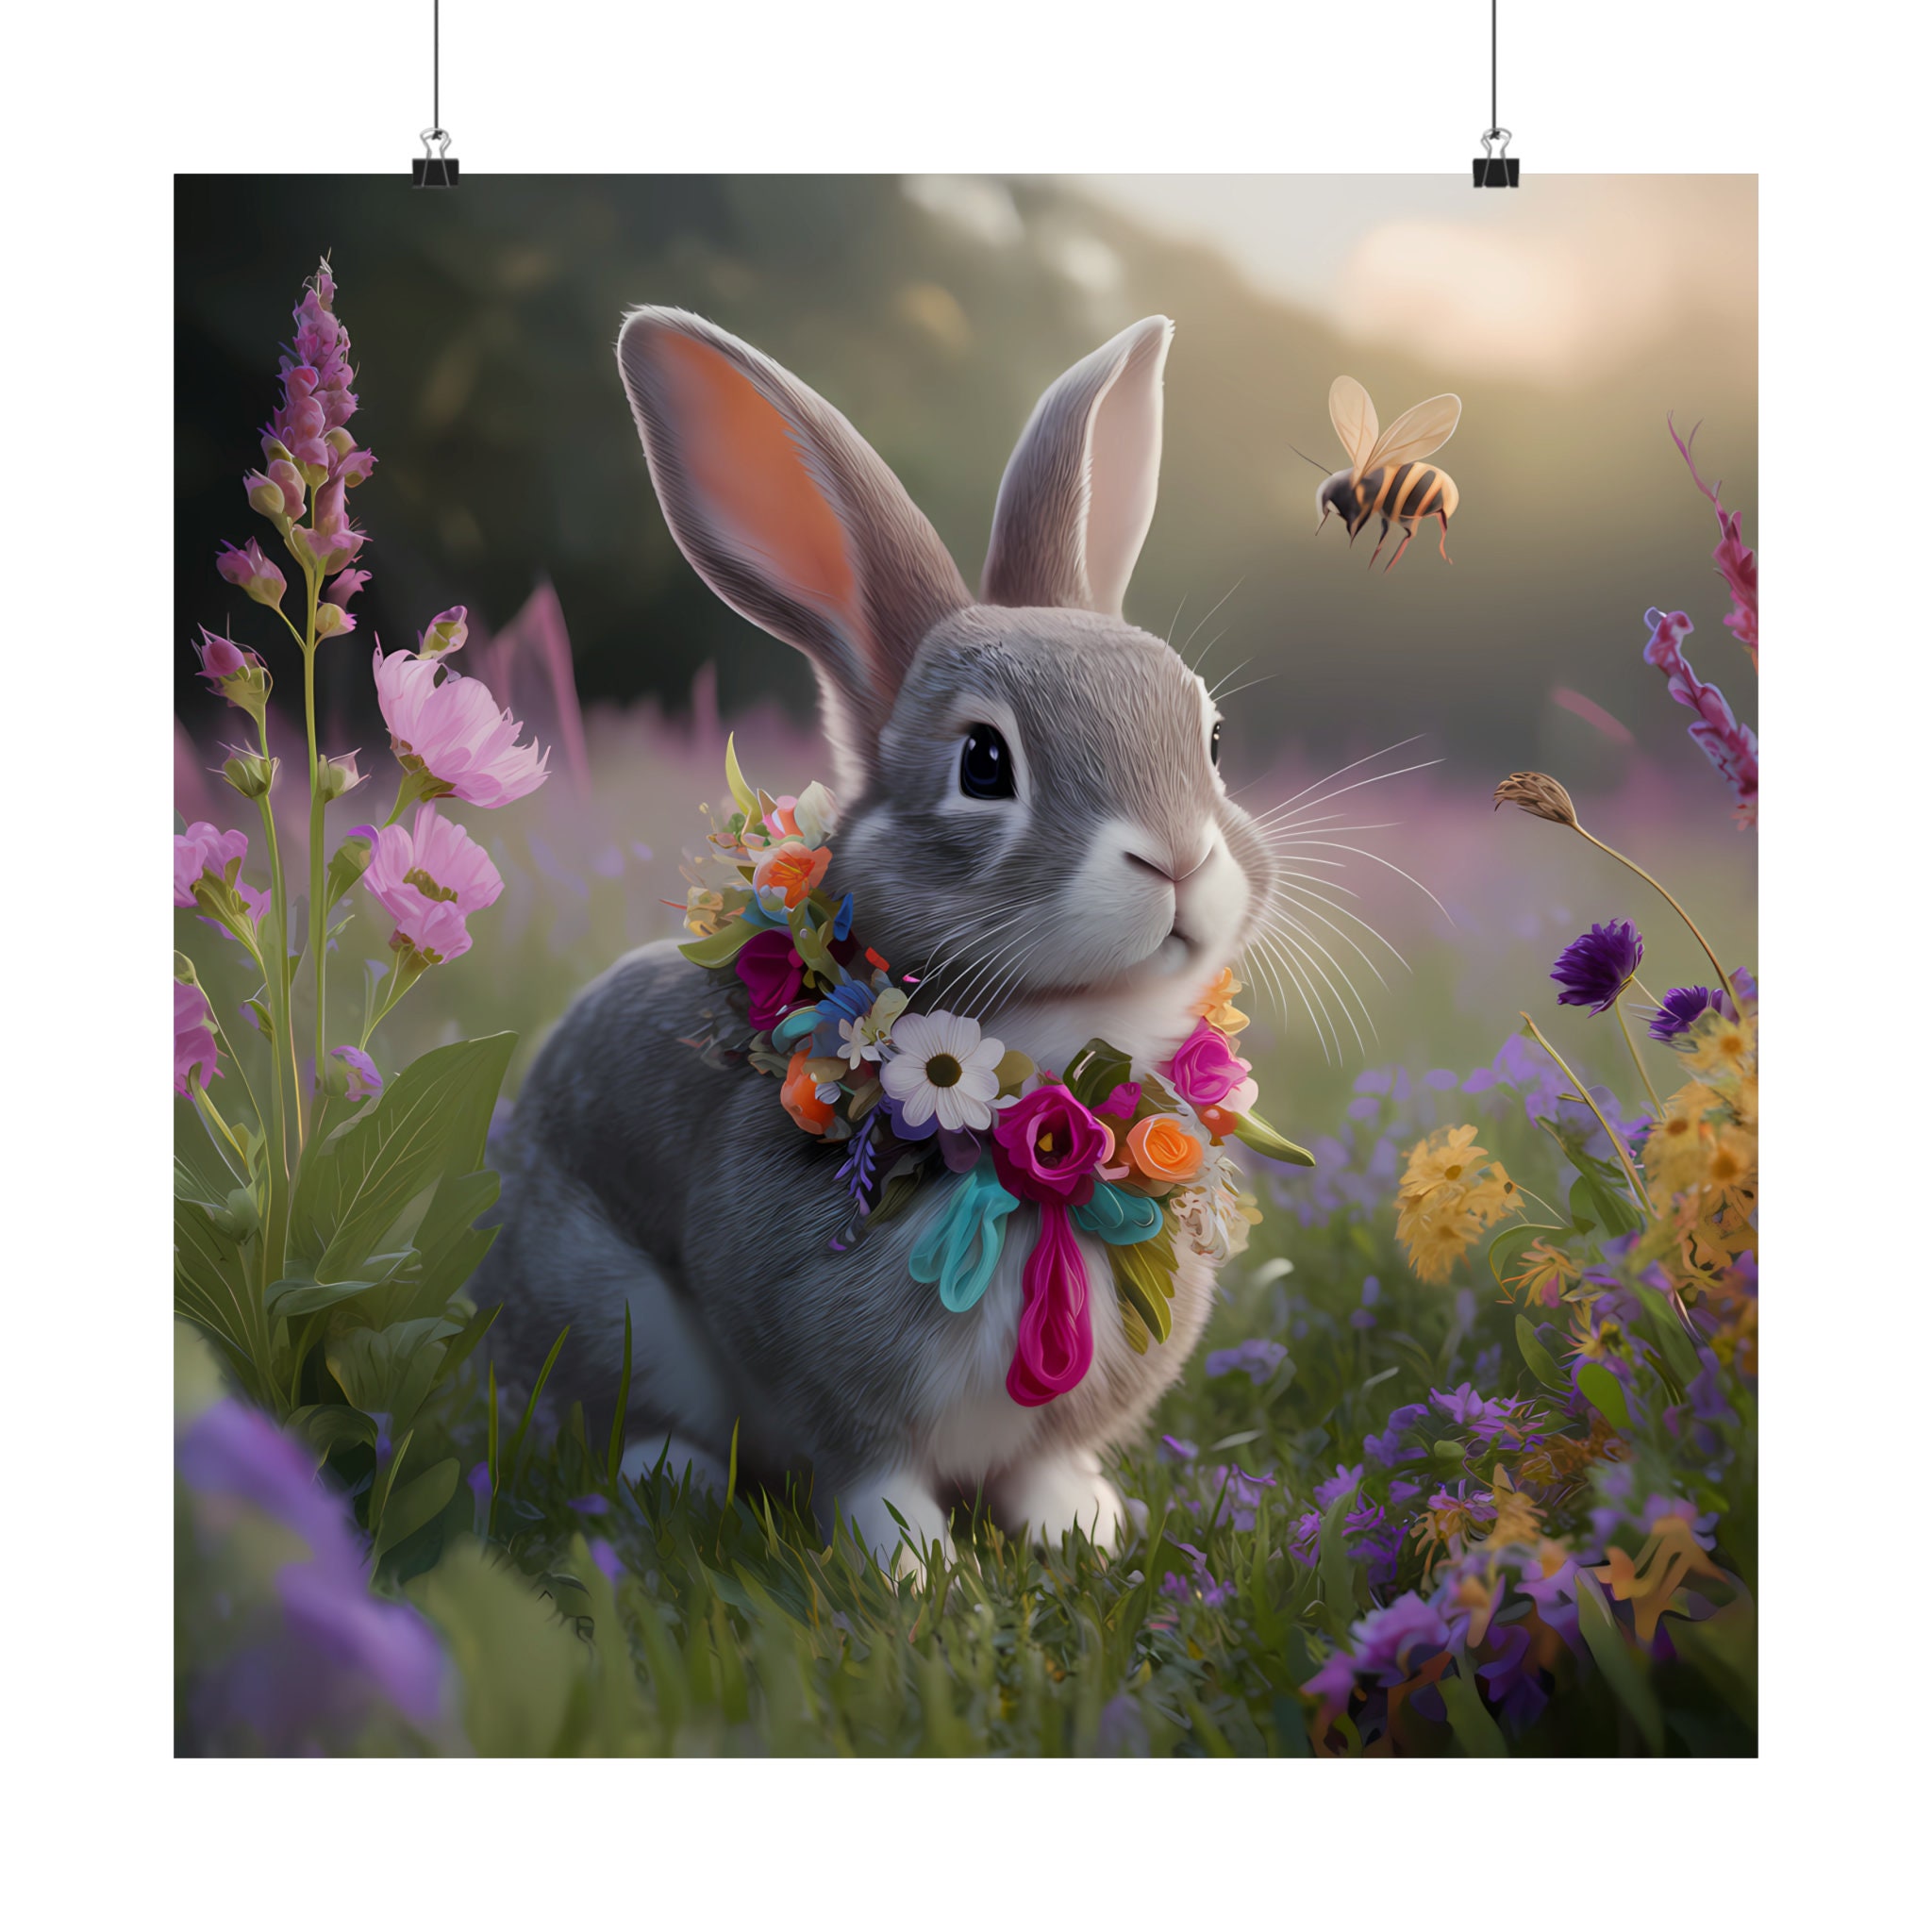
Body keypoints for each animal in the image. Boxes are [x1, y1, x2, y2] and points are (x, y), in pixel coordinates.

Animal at [477, 306, 1280, 1567]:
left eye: (1204, 736)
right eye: (983, 762)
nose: (1177, 858)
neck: (1038, 1134)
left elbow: (1042, 1462)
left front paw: (1081, 1529)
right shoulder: (825, 1375)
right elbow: (870, 1474)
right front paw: (912, 1571)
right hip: (606, 1316)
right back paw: (672, 1480)